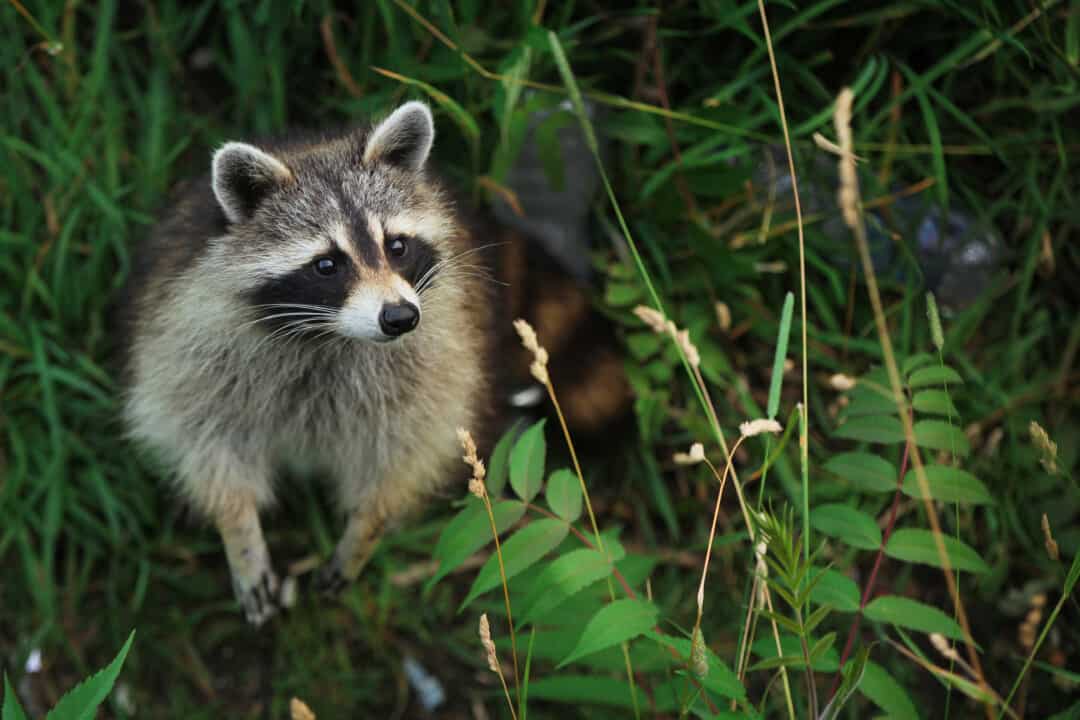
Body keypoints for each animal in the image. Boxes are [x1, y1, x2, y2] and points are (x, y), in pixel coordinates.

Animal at [117, 101, 628, 625]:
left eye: (396, 246)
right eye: (327, 265)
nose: (400, 317)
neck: (330, 335)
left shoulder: (438, 354)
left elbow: (406, 451)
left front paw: (365, 531)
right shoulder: (192, 341)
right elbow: (207, 442)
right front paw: (240, 534)